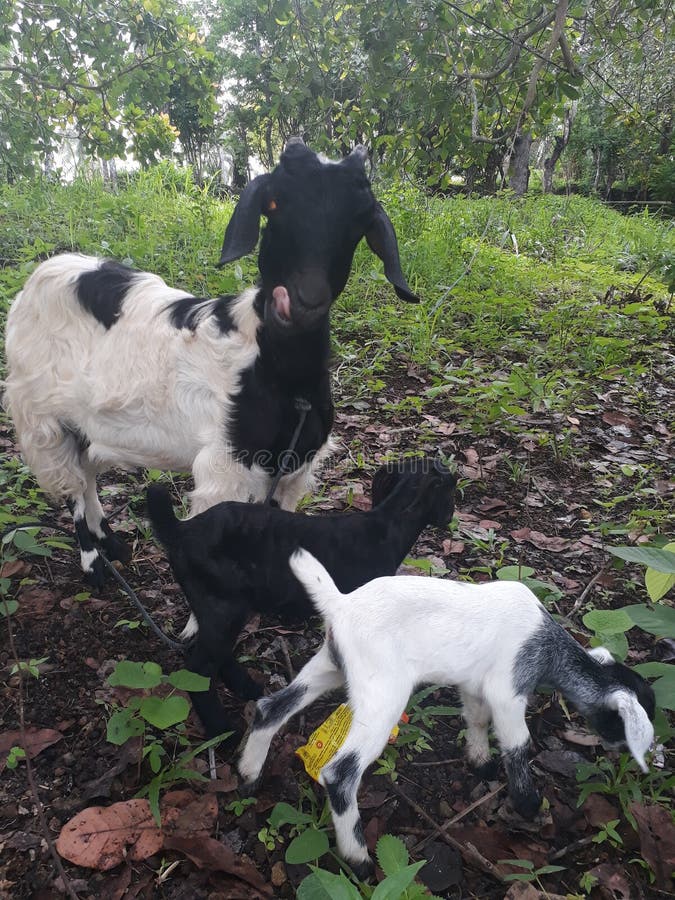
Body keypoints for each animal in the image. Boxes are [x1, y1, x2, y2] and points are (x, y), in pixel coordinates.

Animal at [3, 139, 418, 586]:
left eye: (359, 220)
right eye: (274, 204)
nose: (305, 299)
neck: (282, 375)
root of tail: (43, 273)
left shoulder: (293, 470)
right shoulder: (224, 469)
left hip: (85, 421)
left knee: (88, 472)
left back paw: (111, 543)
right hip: (44, 417)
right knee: (73, 486)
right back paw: (95, 564)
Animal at [146, 458, 457, 739]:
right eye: (450, 490)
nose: (450, 517)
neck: (385, 527)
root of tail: (182, 530)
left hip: (216, 608)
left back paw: (246, 688)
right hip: (223, 606)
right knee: (200, 666)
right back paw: (222, 731)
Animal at [238, 549, 656, 879]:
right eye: (624, 725)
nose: (628, 755)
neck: (545, 644)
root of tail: (341, 604)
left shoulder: (474, 685)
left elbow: (476, 719)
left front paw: (480, 761)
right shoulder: (507, 691)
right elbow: (519, 744)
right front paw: (529, 806)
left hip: (330, 665)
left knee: (270, 709)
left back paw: (248, 775)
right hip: (382, 693)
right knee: (340, 773)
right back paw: (358, 859)